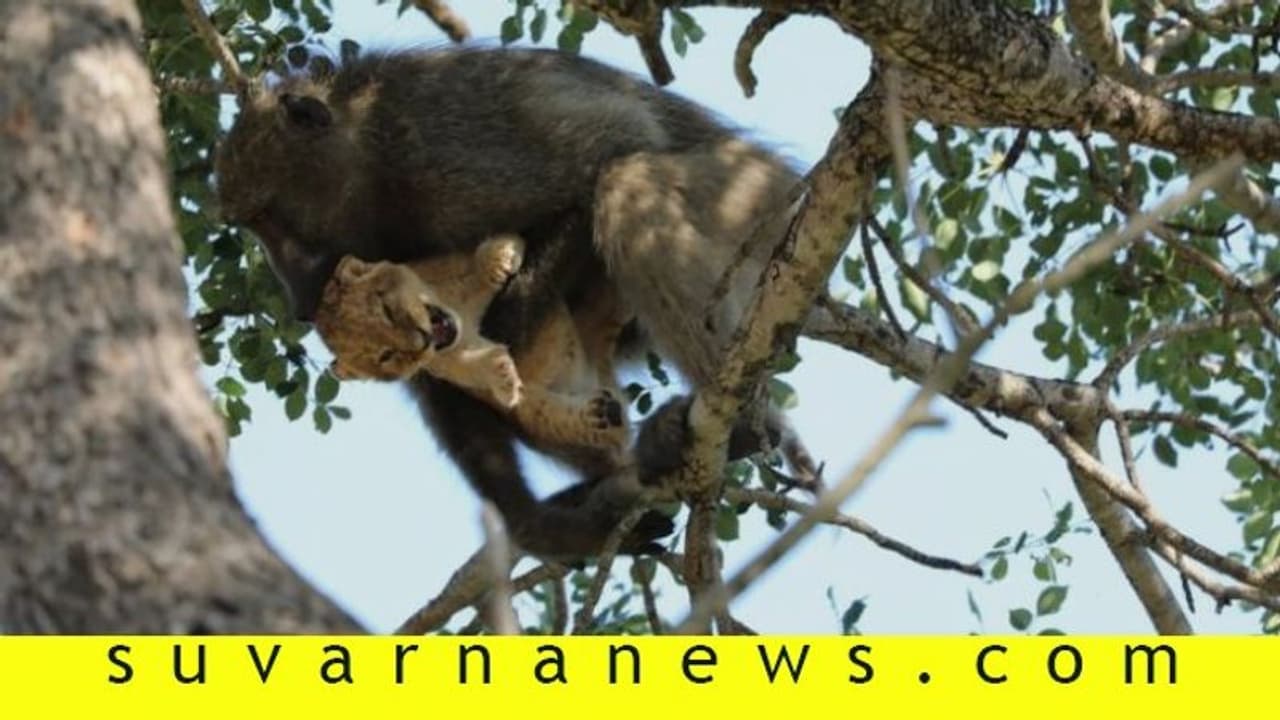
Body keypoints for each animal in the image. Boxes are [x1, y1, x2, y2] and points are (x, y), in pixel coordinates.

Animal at [313, 235, 632, 475]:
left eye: (387, 311)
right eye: (385, 357)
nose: (422, 340)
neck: (457, 310)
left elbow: (480, 259)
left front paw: (503, 255)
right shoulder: (450, 365)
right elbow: (475, 367)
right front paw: (502, 375)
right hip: (538, 414)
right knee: (594, 427)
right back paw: (602, 413)